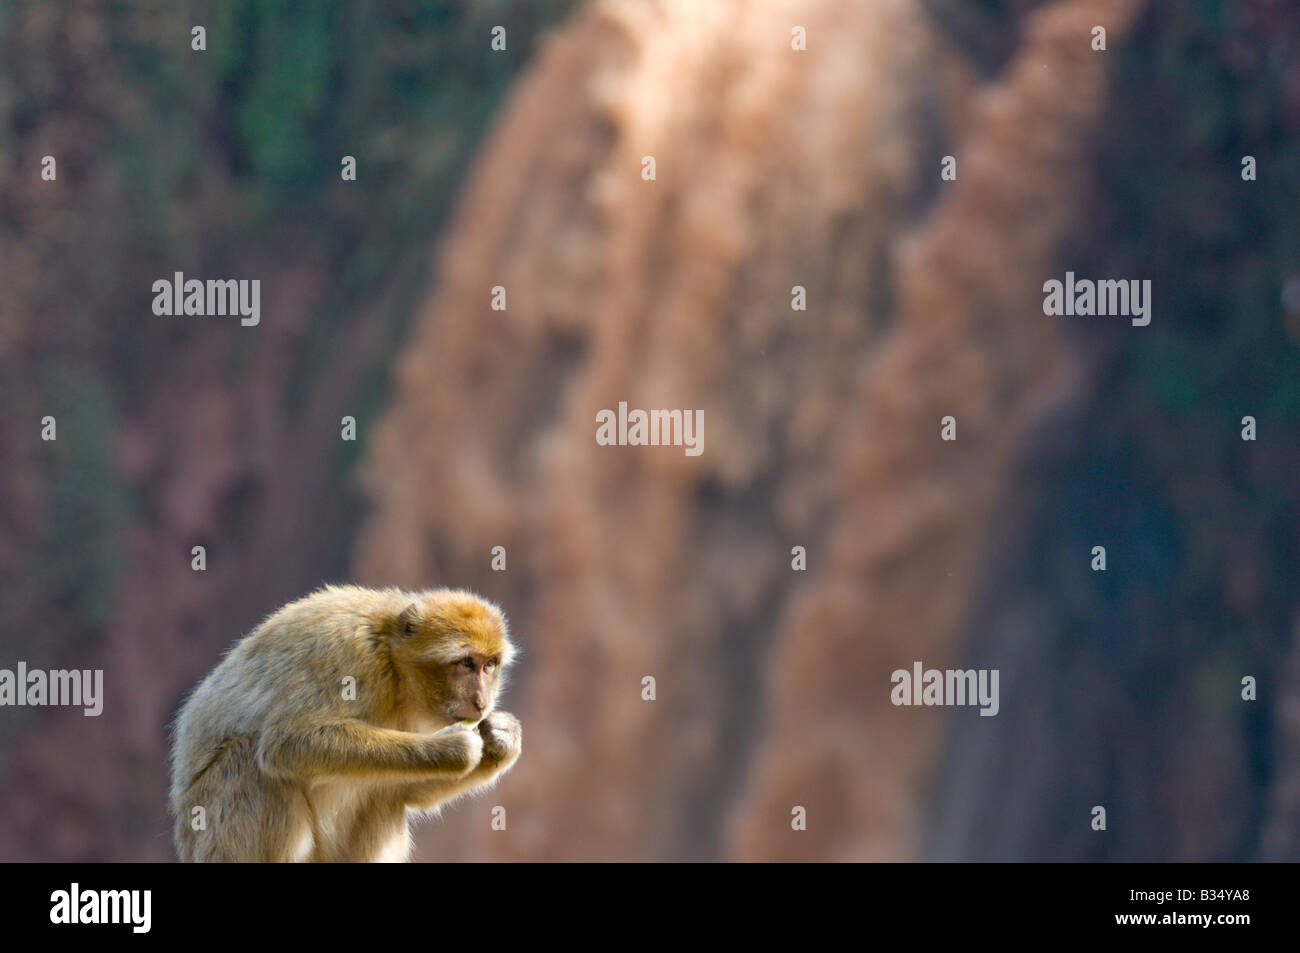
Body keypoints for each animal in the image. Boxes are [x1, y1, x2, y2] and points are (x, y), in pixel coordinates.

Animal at [169, 585, 521, 862]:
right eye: (465, 664)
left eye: (489, 665)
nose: (482, 702)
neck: (394, 666)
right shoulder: (349, 654)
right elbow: (287, 744)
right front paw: (450, 747)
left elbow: (407, 789)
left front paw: (502, 739)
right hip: (205, 830)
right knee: (248, 762)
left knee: (384, 792)